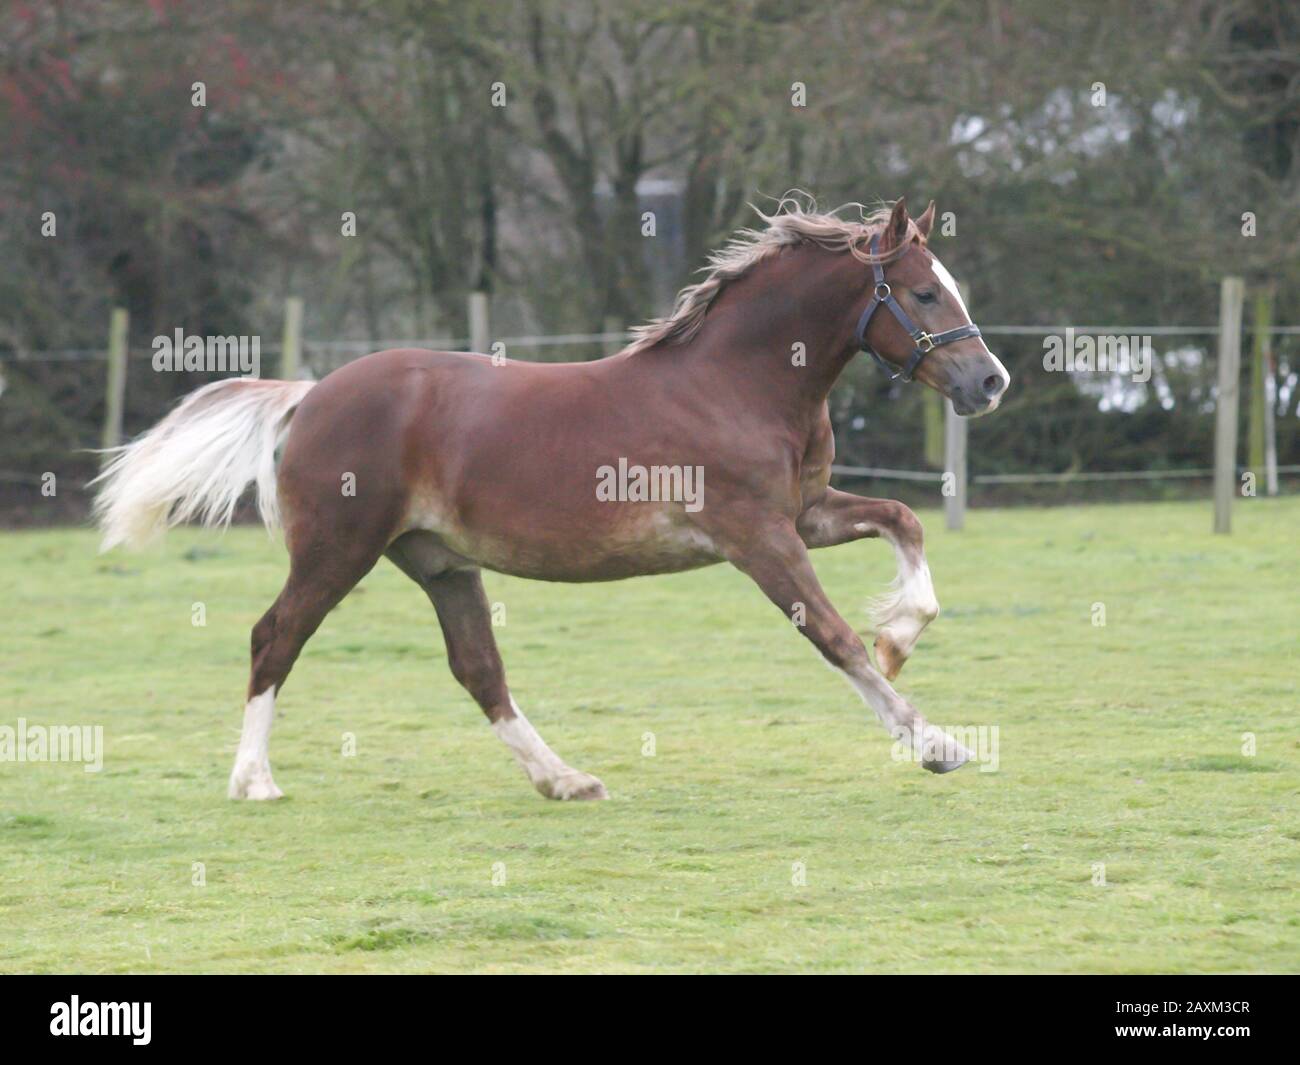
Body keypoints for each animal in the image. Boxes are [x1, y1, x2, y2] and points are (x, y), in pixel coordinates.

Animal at [93, 196, 1009, 802]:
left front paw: (904, 633)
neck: (735, 382)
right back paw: (253, 779)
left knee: (478, 668)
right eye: (924, 292)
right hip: (337, 551)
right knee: (274, 636)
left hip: (439, 563)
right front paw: (937, 742)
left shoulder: (804, 517)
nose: (989, 382)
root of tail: (311, 394)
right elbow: (834, 637)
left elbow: (904, 521)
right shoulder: (759, 538)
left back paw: (564, 778)